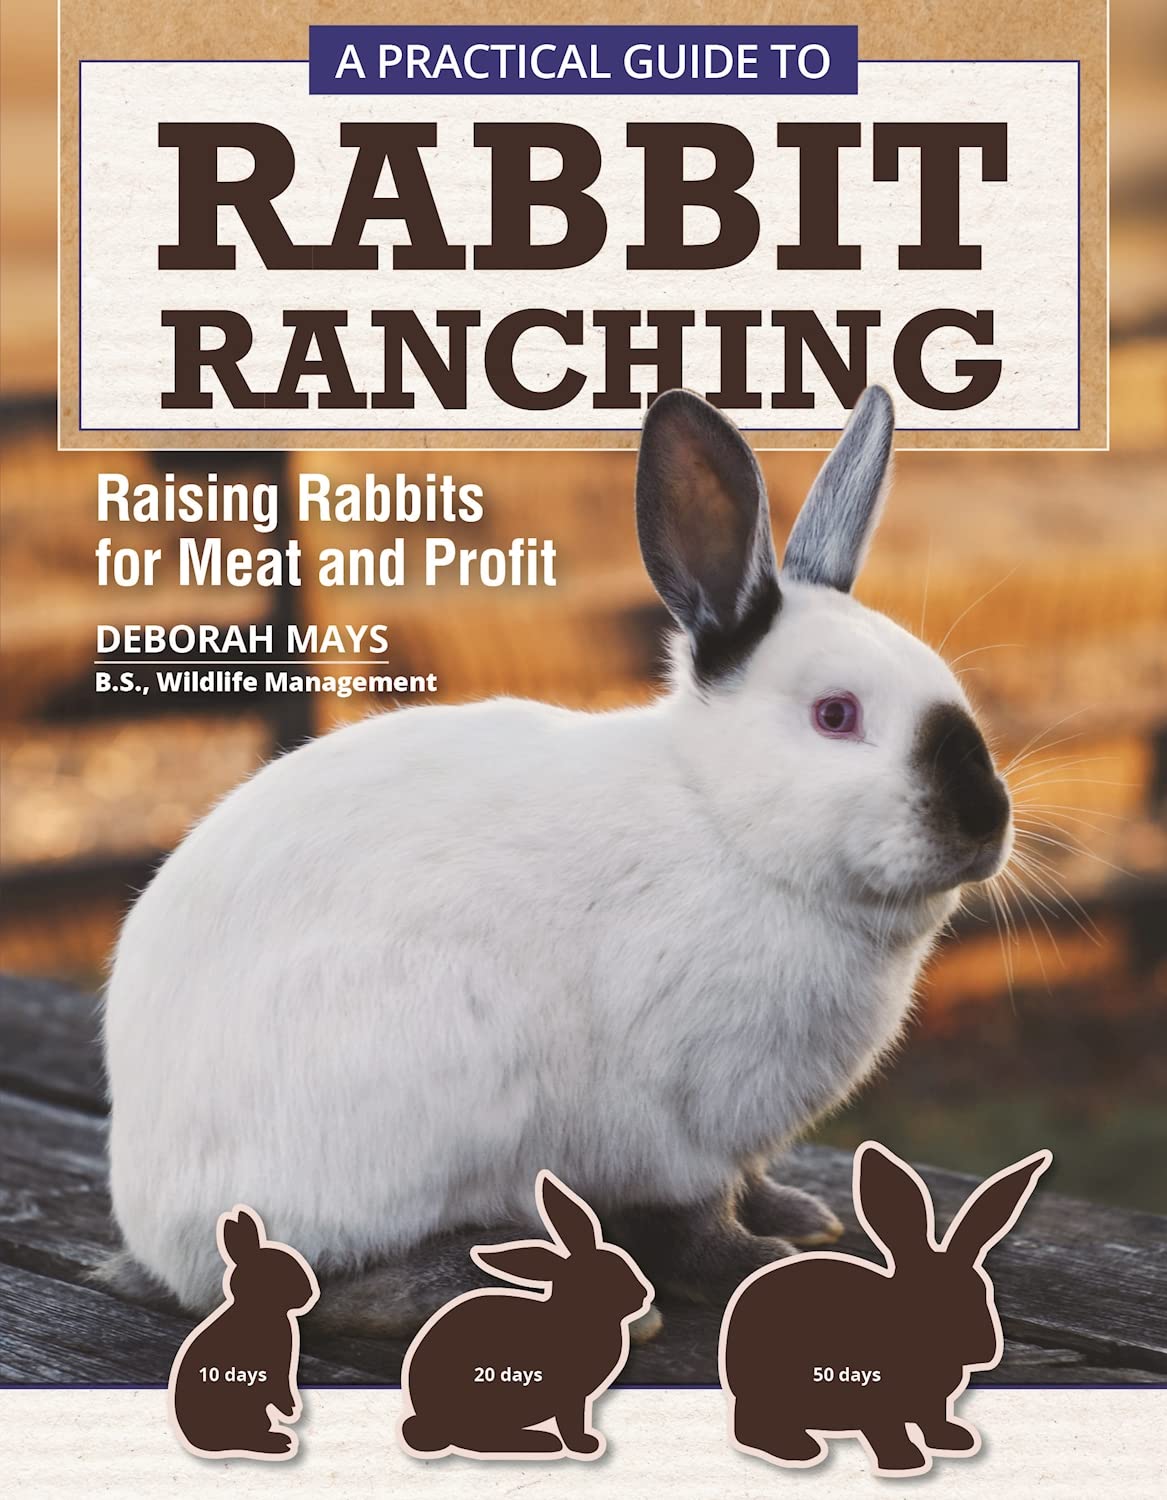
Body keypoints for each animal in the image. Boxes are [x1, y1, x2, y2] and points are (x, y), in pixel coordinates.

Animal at [103, 384, 1015, 1336]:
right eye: (836, 716)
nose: (984, 820)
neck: (724, 823)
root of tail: (157, 1230)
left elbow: (748, 1183)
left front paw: (801, 1218)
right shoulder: (674, 1126)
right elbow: (697, 1218)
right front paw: (755, 1262)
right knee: (332, 1283)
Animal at [720, 1142, 1052, 1476]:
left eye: (983, 1292)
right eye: (925, 1301)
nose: (983, 1350)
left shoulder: (933, 1407)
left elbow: (934, 1422)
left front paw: (956, 1440)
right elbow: (886, 1433)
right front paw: (906, 1463)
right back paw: (799, 1449)